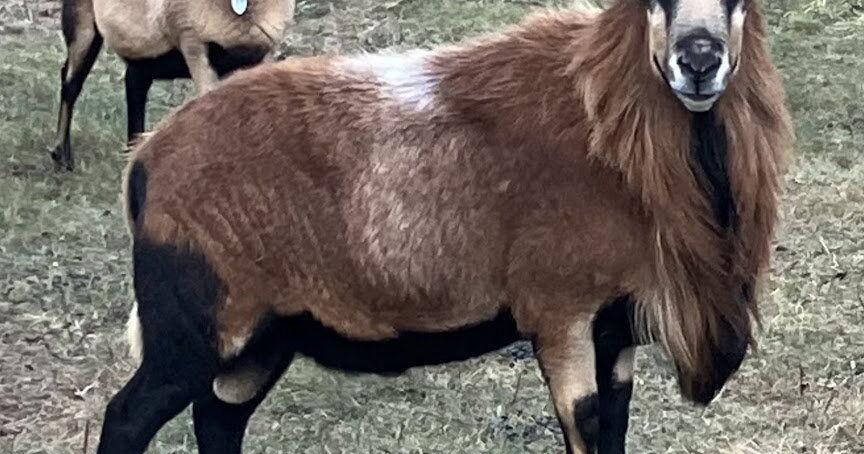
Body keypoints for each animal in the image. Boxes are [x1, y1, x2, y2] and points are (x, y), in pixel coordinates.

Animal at [50, 0, 295, 171]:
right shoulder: (194, 46)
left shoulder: (260, 55)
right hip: (83, 24)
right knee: (70, 83)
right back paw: (62, 158)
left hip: (142, 53)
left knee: (133, 87)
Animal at [99, 0, 793, 452]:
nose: (698, 61)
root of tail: (145, 163)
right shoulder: (560, 312)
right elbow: (586, 424)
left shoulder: (614, 325)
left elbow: (616, 425)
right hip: (191, 329)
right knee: (127, 418)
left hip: (260, 340)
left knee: (220, 416)